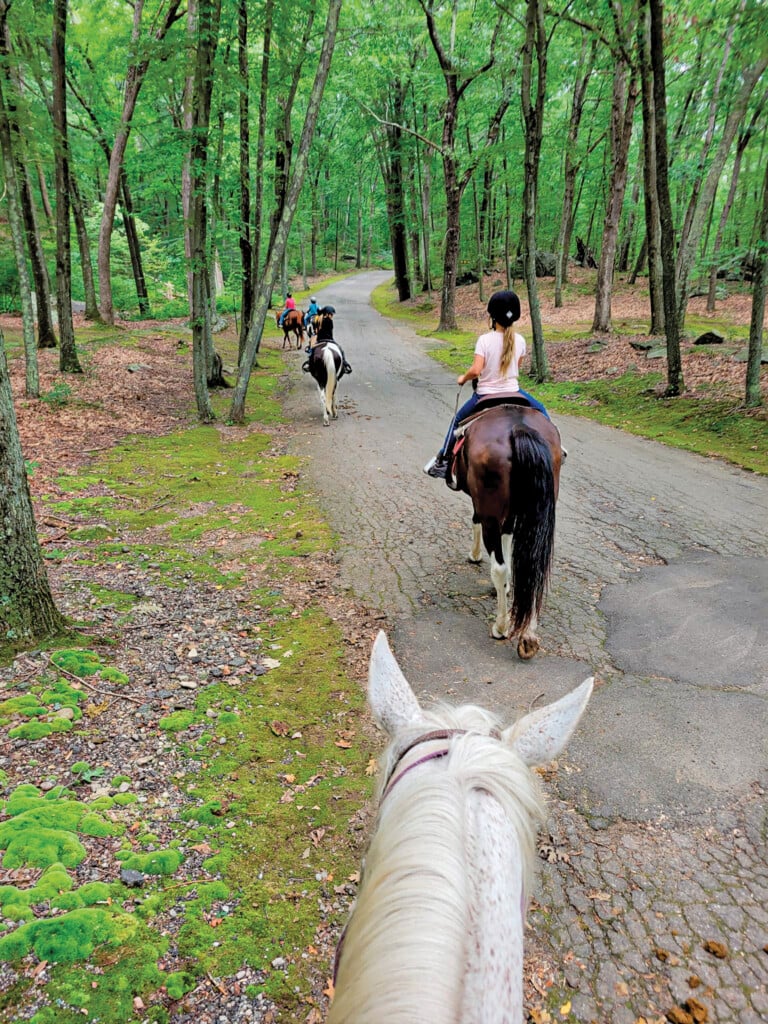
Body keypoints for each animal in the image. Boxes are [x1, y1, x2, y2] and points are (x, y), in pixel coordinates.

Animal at [448, 400, 564, 660]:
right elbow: (508, 539)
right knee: (535, 568)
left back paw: (501, 627)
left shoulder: (482, 506)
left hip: (490, 508)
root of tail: (519, 428)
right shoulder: (512, 514)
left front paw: (474, 555)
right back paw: (528, 638)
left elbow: (476, 522)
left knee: (499, 567)